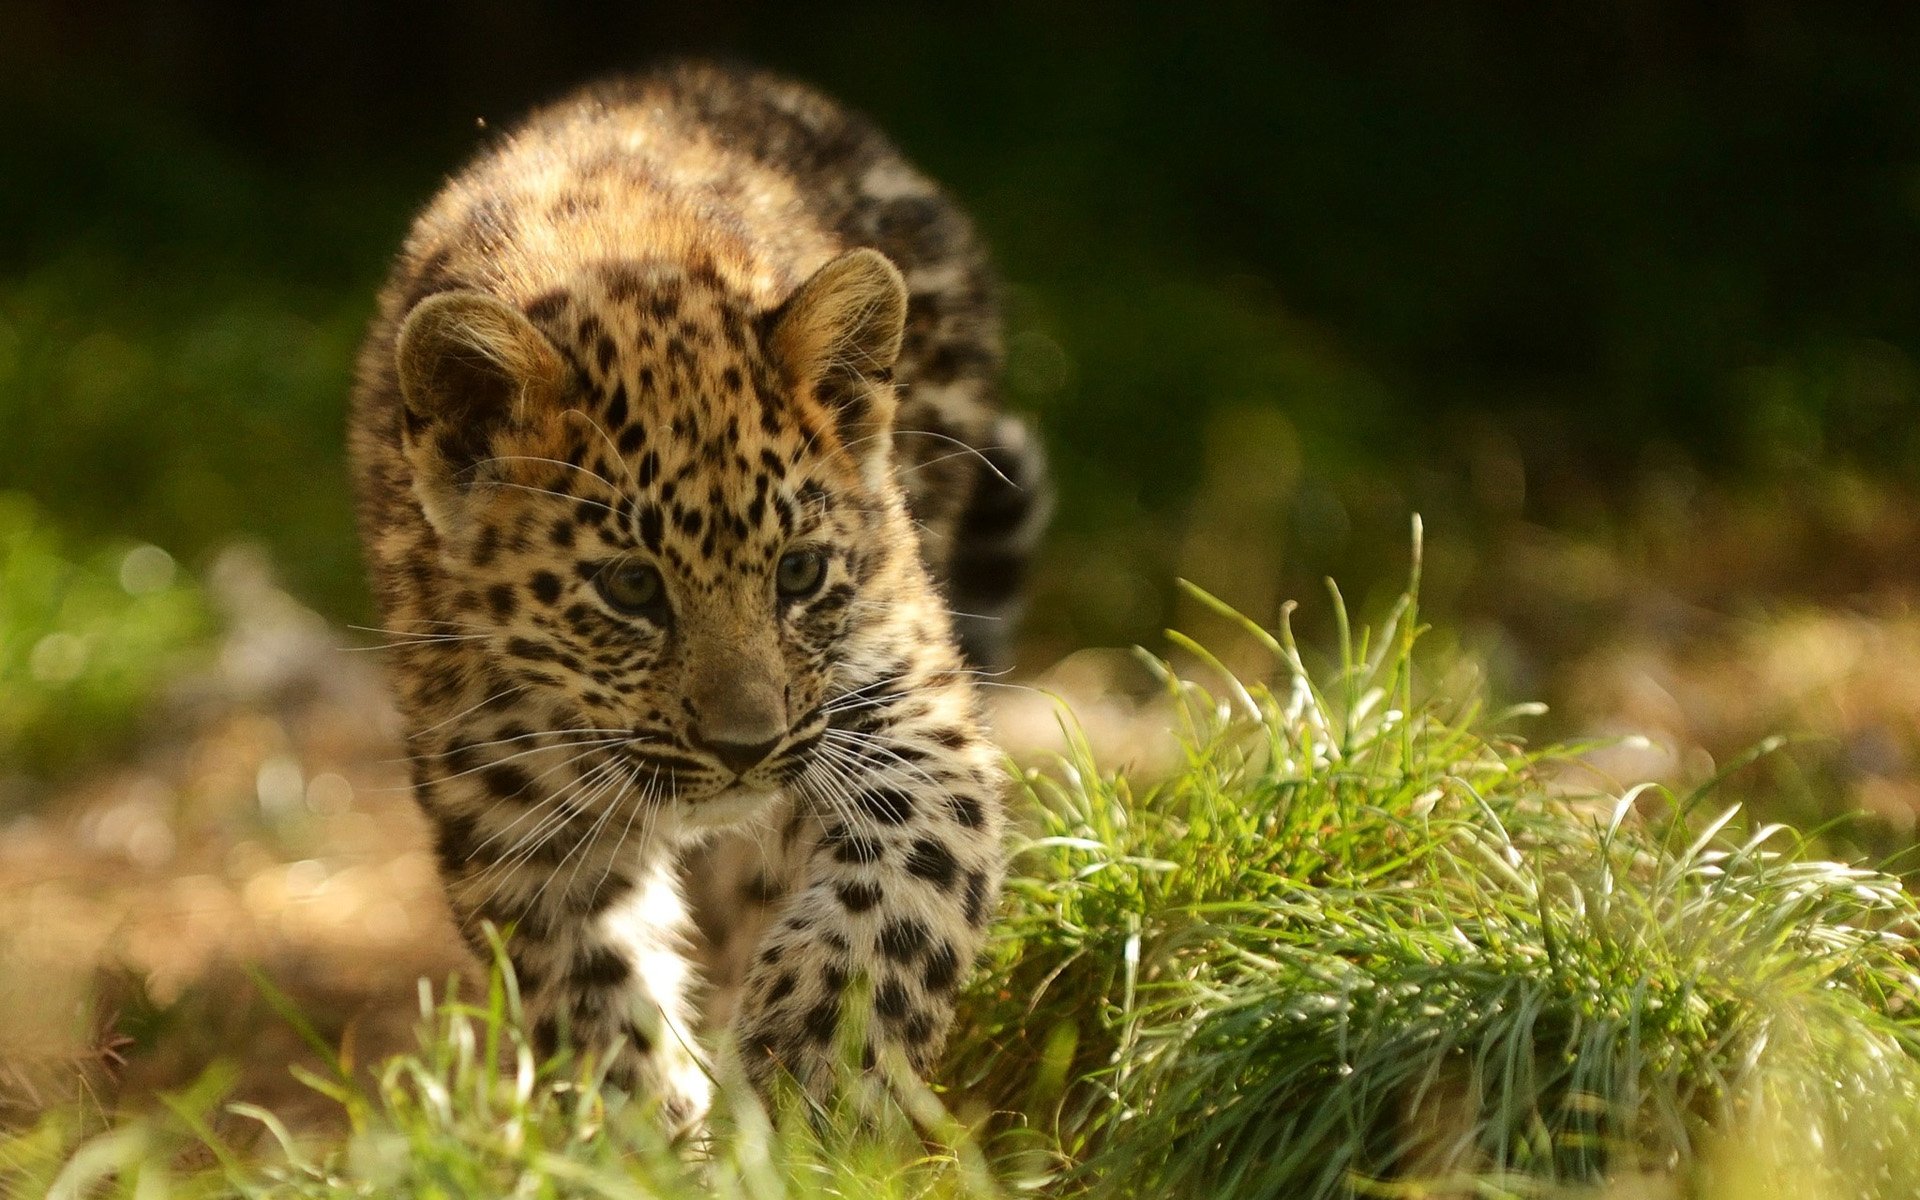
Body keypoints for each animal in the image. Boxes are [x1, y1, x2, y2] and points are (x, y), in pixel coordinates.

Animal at [347, 60, 1048, 1131]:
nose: (745, 749)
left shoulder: (895, 700)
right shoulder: (514, 810)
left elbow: (903, 885)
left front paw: (816, 1073)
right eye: (632, 587)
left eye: (798, 573)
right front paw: (646, 1135)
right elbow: (596, 995)